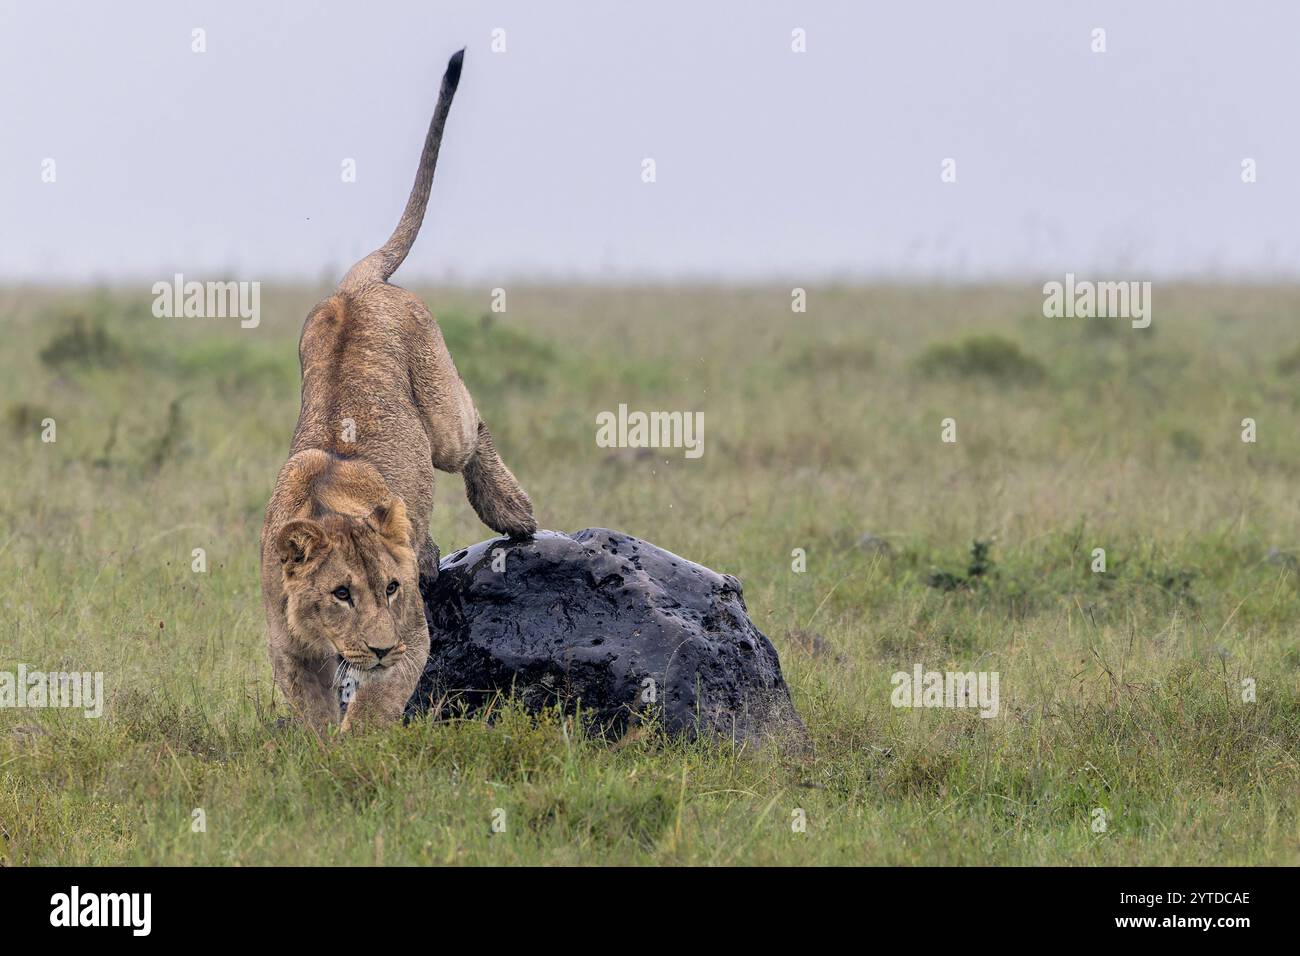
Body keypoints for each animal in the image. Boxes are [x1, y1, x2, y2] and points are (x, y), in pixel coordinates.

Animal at [260, 49, 536, 733]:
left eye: (388, 588)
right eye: (341, 593)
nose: (379, 645)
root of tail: (357, 284)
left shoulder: (413, 635)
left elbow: (372, 710)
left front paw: (358, 749)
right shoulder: (289, 651)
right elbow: (316, 718)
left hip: (441, 418)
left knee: (472, 429)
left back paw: (511, 511)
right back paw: (433, 551)